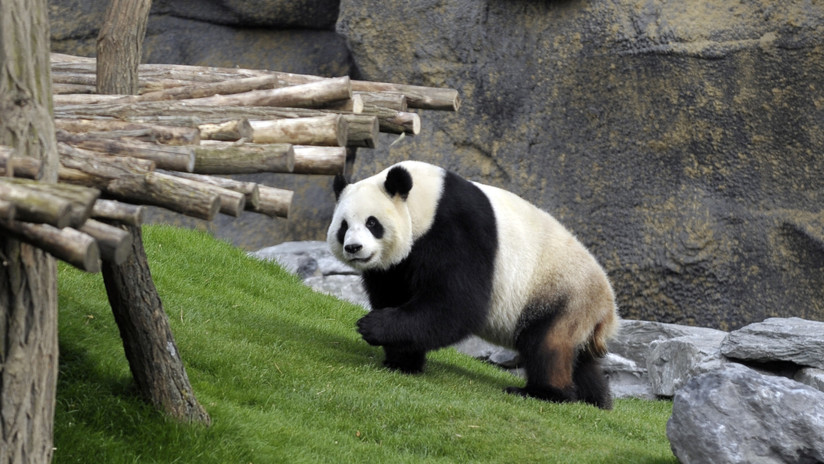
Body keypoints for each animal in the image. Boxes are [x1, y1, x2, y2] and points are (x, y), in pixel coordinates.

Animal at [327, 160, 619, 409]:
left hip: (565, 294)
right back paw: (596, 399)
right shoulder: (396, 266)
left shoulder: (457, 229)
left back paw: (544, 392)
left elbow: (457, 304)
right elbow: (394, 294)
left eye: (372, 223)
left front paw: (372, 326)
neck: (426, 199)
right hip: (577, 309)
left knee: (547, 345)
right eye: (343, 226)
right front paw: (401, 361)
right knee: (578, 358)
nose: (354, 248)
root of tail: (608, 308)